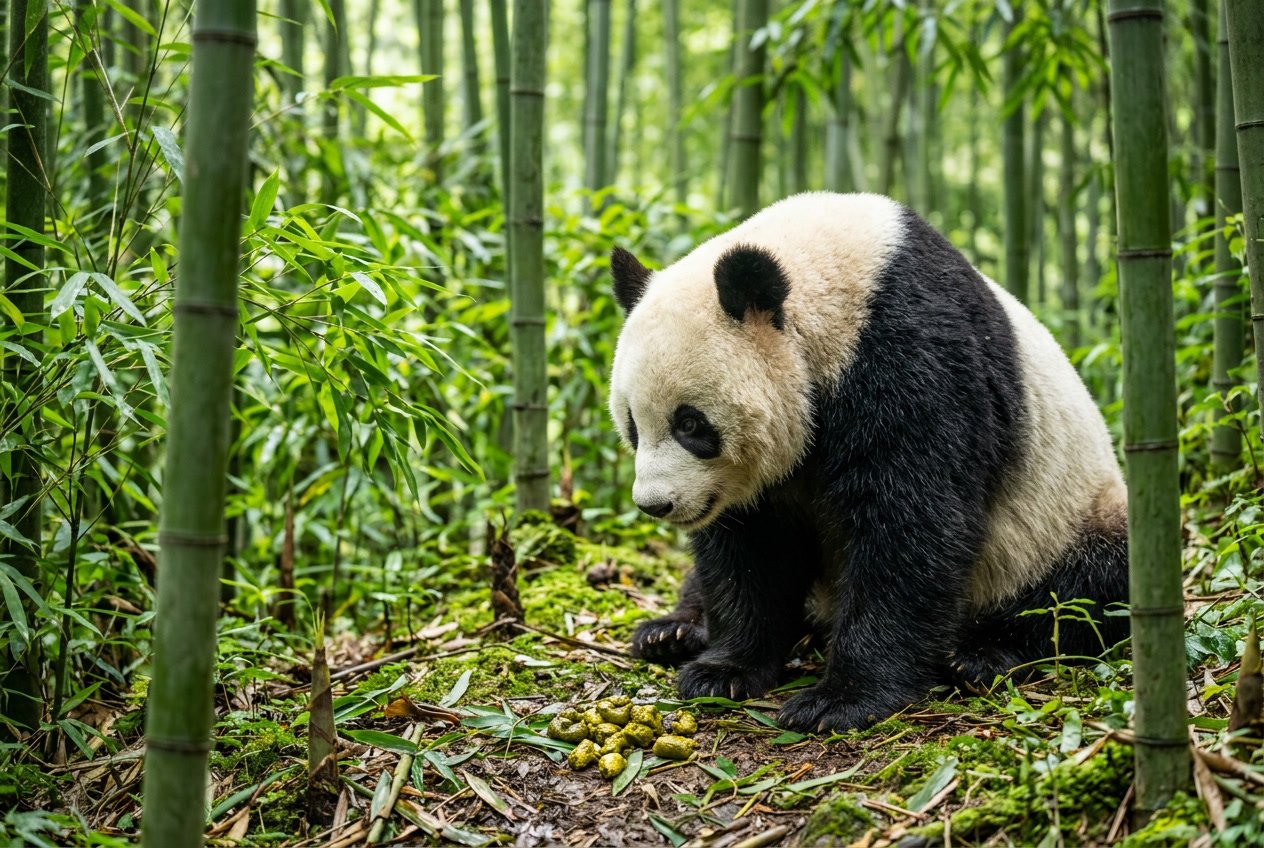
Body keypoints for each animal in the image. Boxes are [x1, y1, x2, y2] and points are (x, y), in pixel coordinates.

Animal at [607, 192, 1129, 732]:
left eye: (690, 424)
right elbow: (748, 546)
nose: (655, 504)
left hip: (1067, 516)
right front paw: (723, 670)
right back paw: (671, 632)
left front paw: (839, 699)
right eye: (632, 424)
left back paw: (979, 653)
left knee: (1088, 588)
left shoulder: (916, 357)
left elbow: (910, 526)